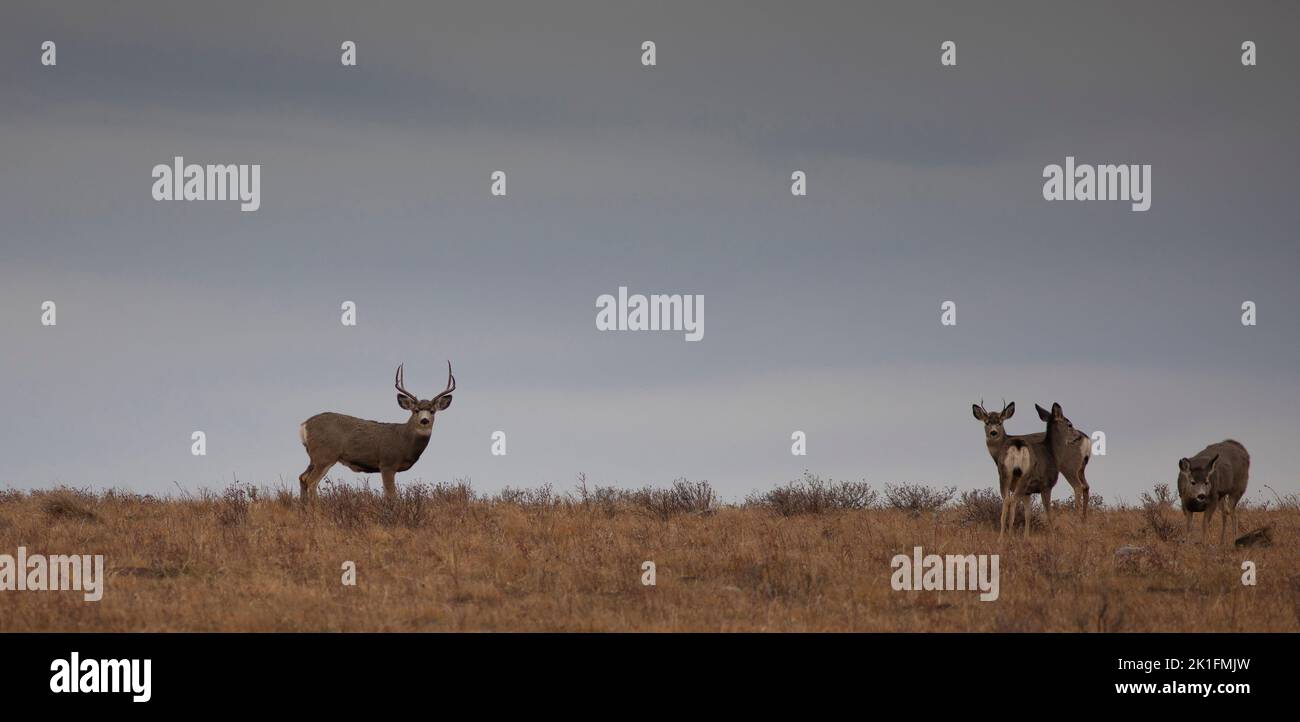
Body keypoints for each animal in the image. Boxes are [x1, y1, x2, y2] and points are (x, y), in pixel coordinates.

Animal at [297, 361, 455, 504]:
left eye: (432, 411)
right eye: (416, 410)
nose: (424, 420)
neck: (404, 440)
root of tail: (304, 425)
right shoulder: (387, 463)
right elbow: (391, 495)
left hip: (314, 457)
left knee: (302, 477)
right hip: (325, 455)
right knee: (311, 481)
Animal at [971, 401, 1059, 540]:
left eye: (1000, 422)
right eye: (987, 422)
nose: (993, 433)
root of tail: (1018, 444)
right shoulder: (1028, 491)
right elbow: (1028, 512)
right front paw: (1026, 537)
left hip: (1006, 474)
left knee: (1008, 500)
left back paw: (1004, 537)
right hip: (1024, 476)